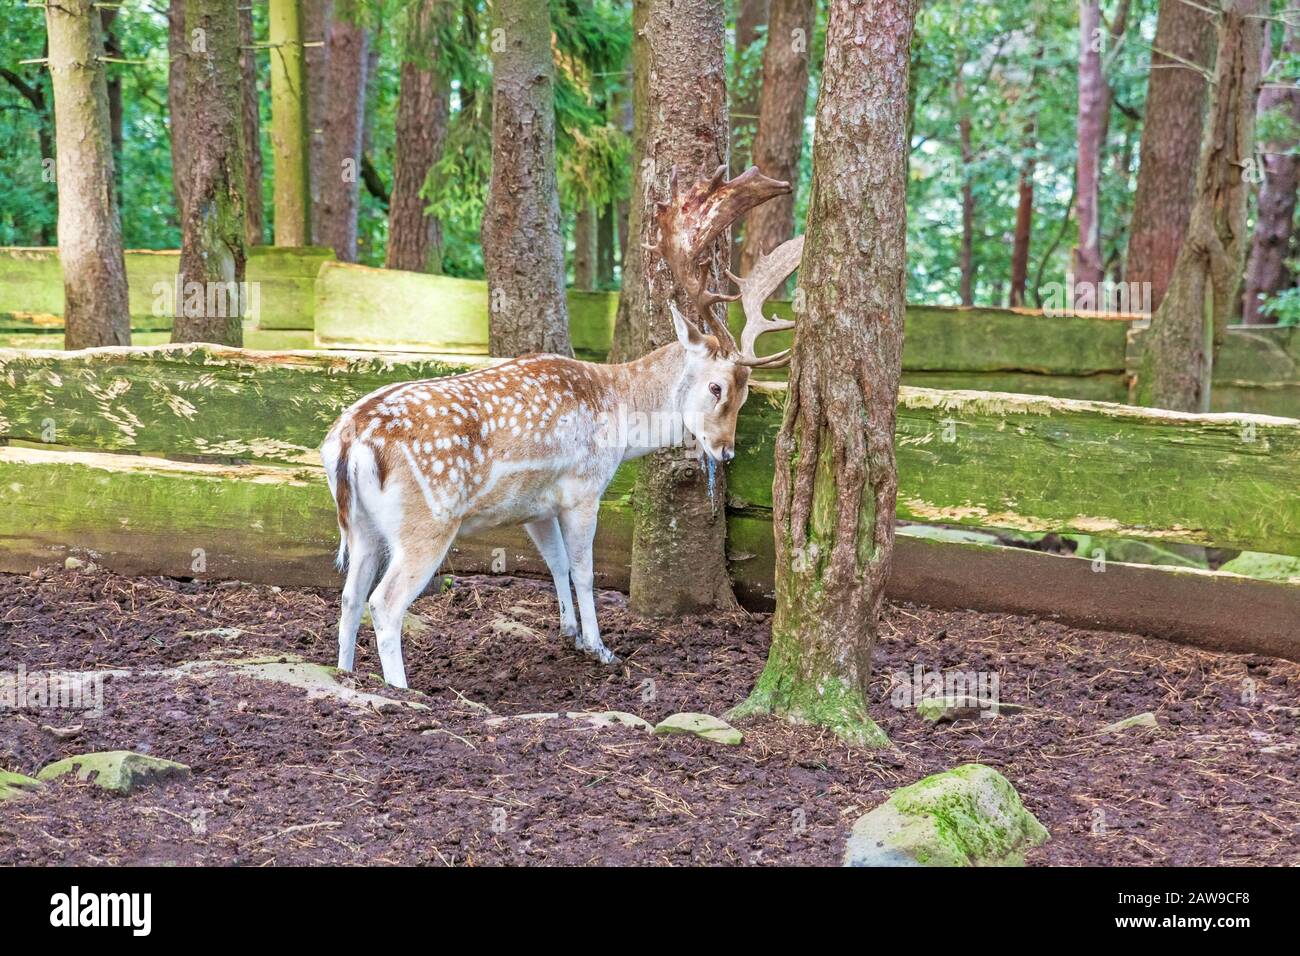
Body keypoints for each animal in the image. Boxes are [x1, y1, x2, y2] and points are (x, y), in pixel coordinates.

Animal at [320, 165, 805, 687]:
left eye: (745, 394)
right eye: (716, 388)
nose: (725, 451)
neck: (620, 410)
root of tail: (350, 441)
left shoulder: (535, 505)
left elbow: (554, 563)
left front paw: (569, 633)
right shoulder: (582, 487)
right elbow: (583, 570)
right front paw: (600, 647)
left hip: (362, 527)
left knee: (349, 596)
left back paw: (344, 673)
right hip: (426, 521)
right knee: (384, 604)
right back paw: (402, 689)